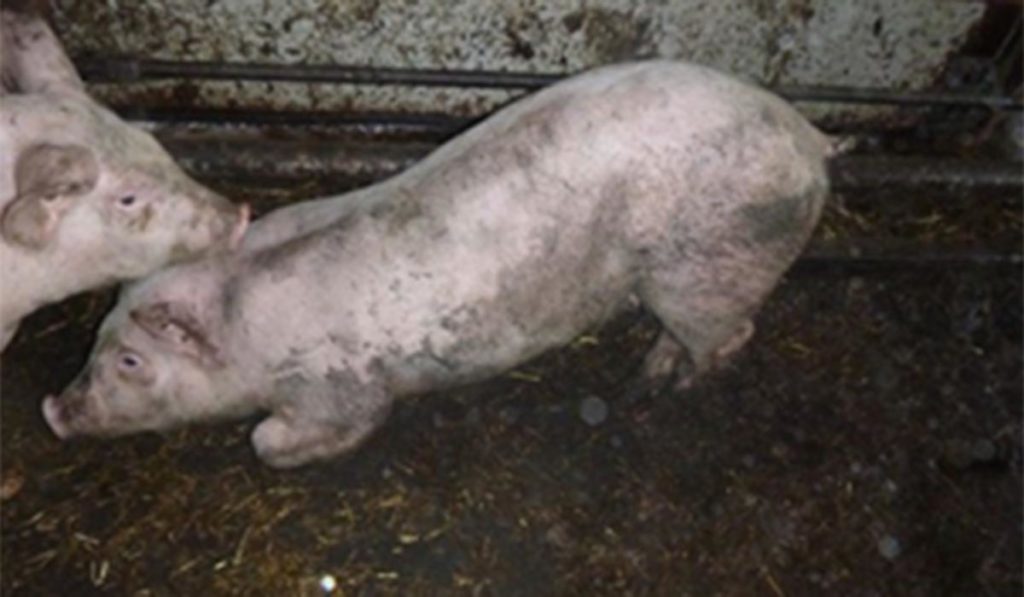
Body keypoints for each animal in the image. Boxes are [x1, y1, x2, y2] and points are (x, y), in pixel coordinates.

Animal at [44, 61, 834, 468]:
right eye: (99, 339)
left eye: (132, 363)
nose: (52, 410)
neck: (241, 328)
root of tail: (809, 139)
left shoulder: (345, 389)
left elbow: (280, 437)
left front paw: (269, 444)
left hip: (716, 262)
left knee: (729, 335)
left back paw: (662, 388)